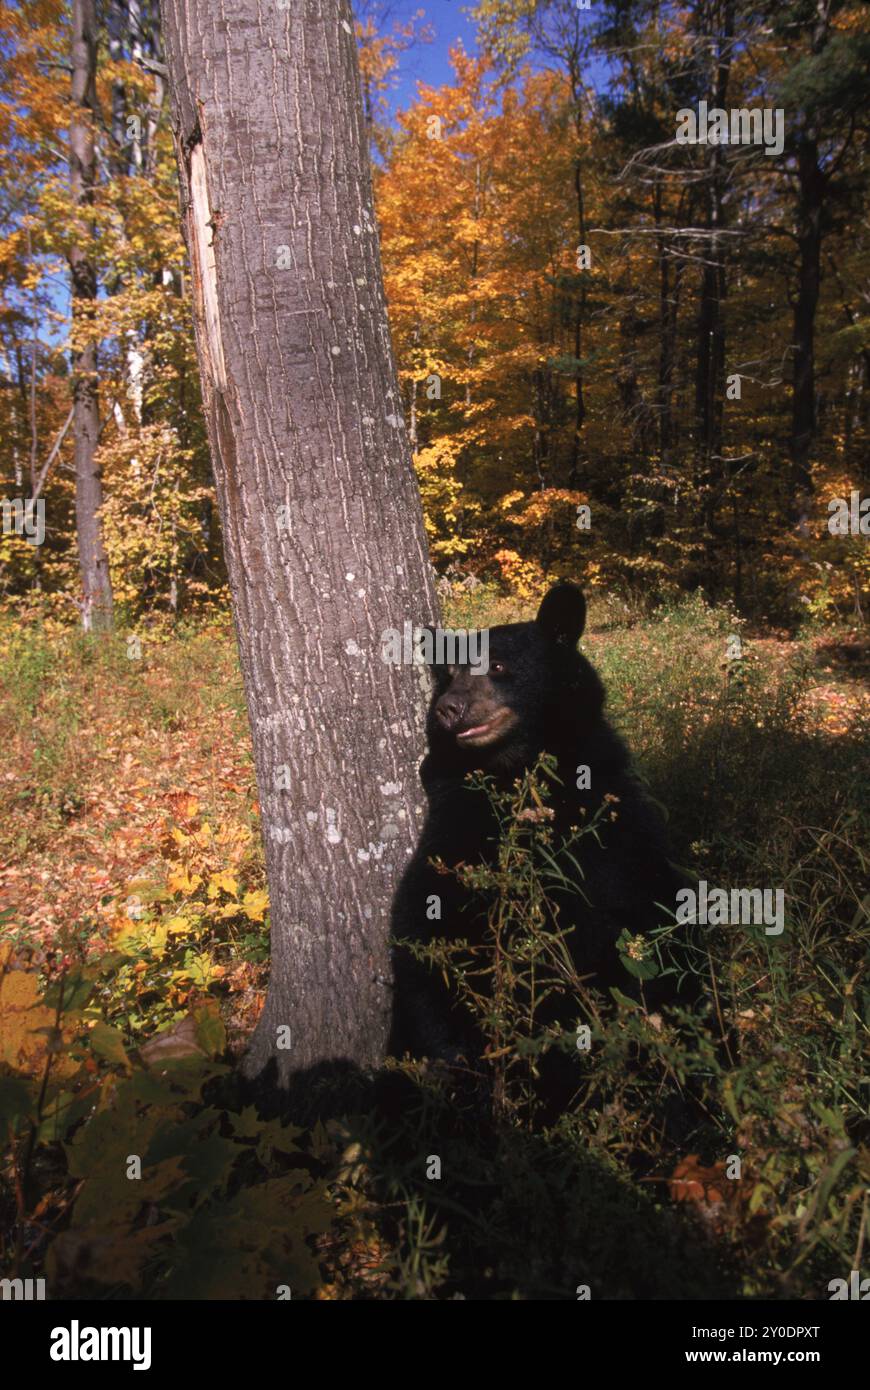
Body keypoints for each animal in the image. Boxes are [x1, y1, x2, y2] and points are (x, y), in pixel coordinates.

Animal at [389, 581, 692, 1069]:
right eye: (451, 673)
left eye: (497, 665)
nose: (448, 709)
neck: (517, 767)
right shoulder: (455, 826)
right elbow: (424, 928)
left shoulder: (613, 814)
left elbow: (638, 902)